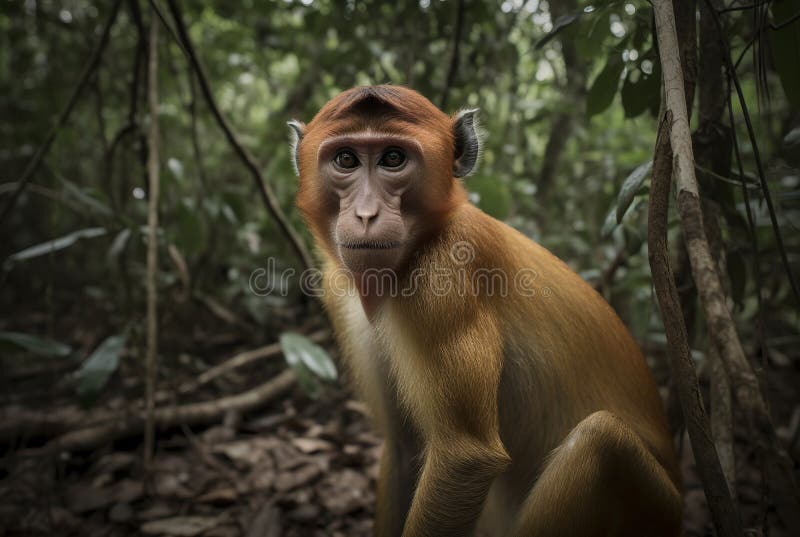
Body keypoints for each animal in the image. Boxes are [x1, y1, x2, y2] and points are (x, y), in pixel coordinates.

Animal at [289, 85, 682, 537]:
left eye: (393, 158)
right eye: (346, 160)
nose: (366, 215)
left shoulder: (445, 279)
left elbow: (465, 458)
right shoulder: (341, 293)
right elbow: (405, 444)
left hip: (652, 505)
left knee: (600, 441)